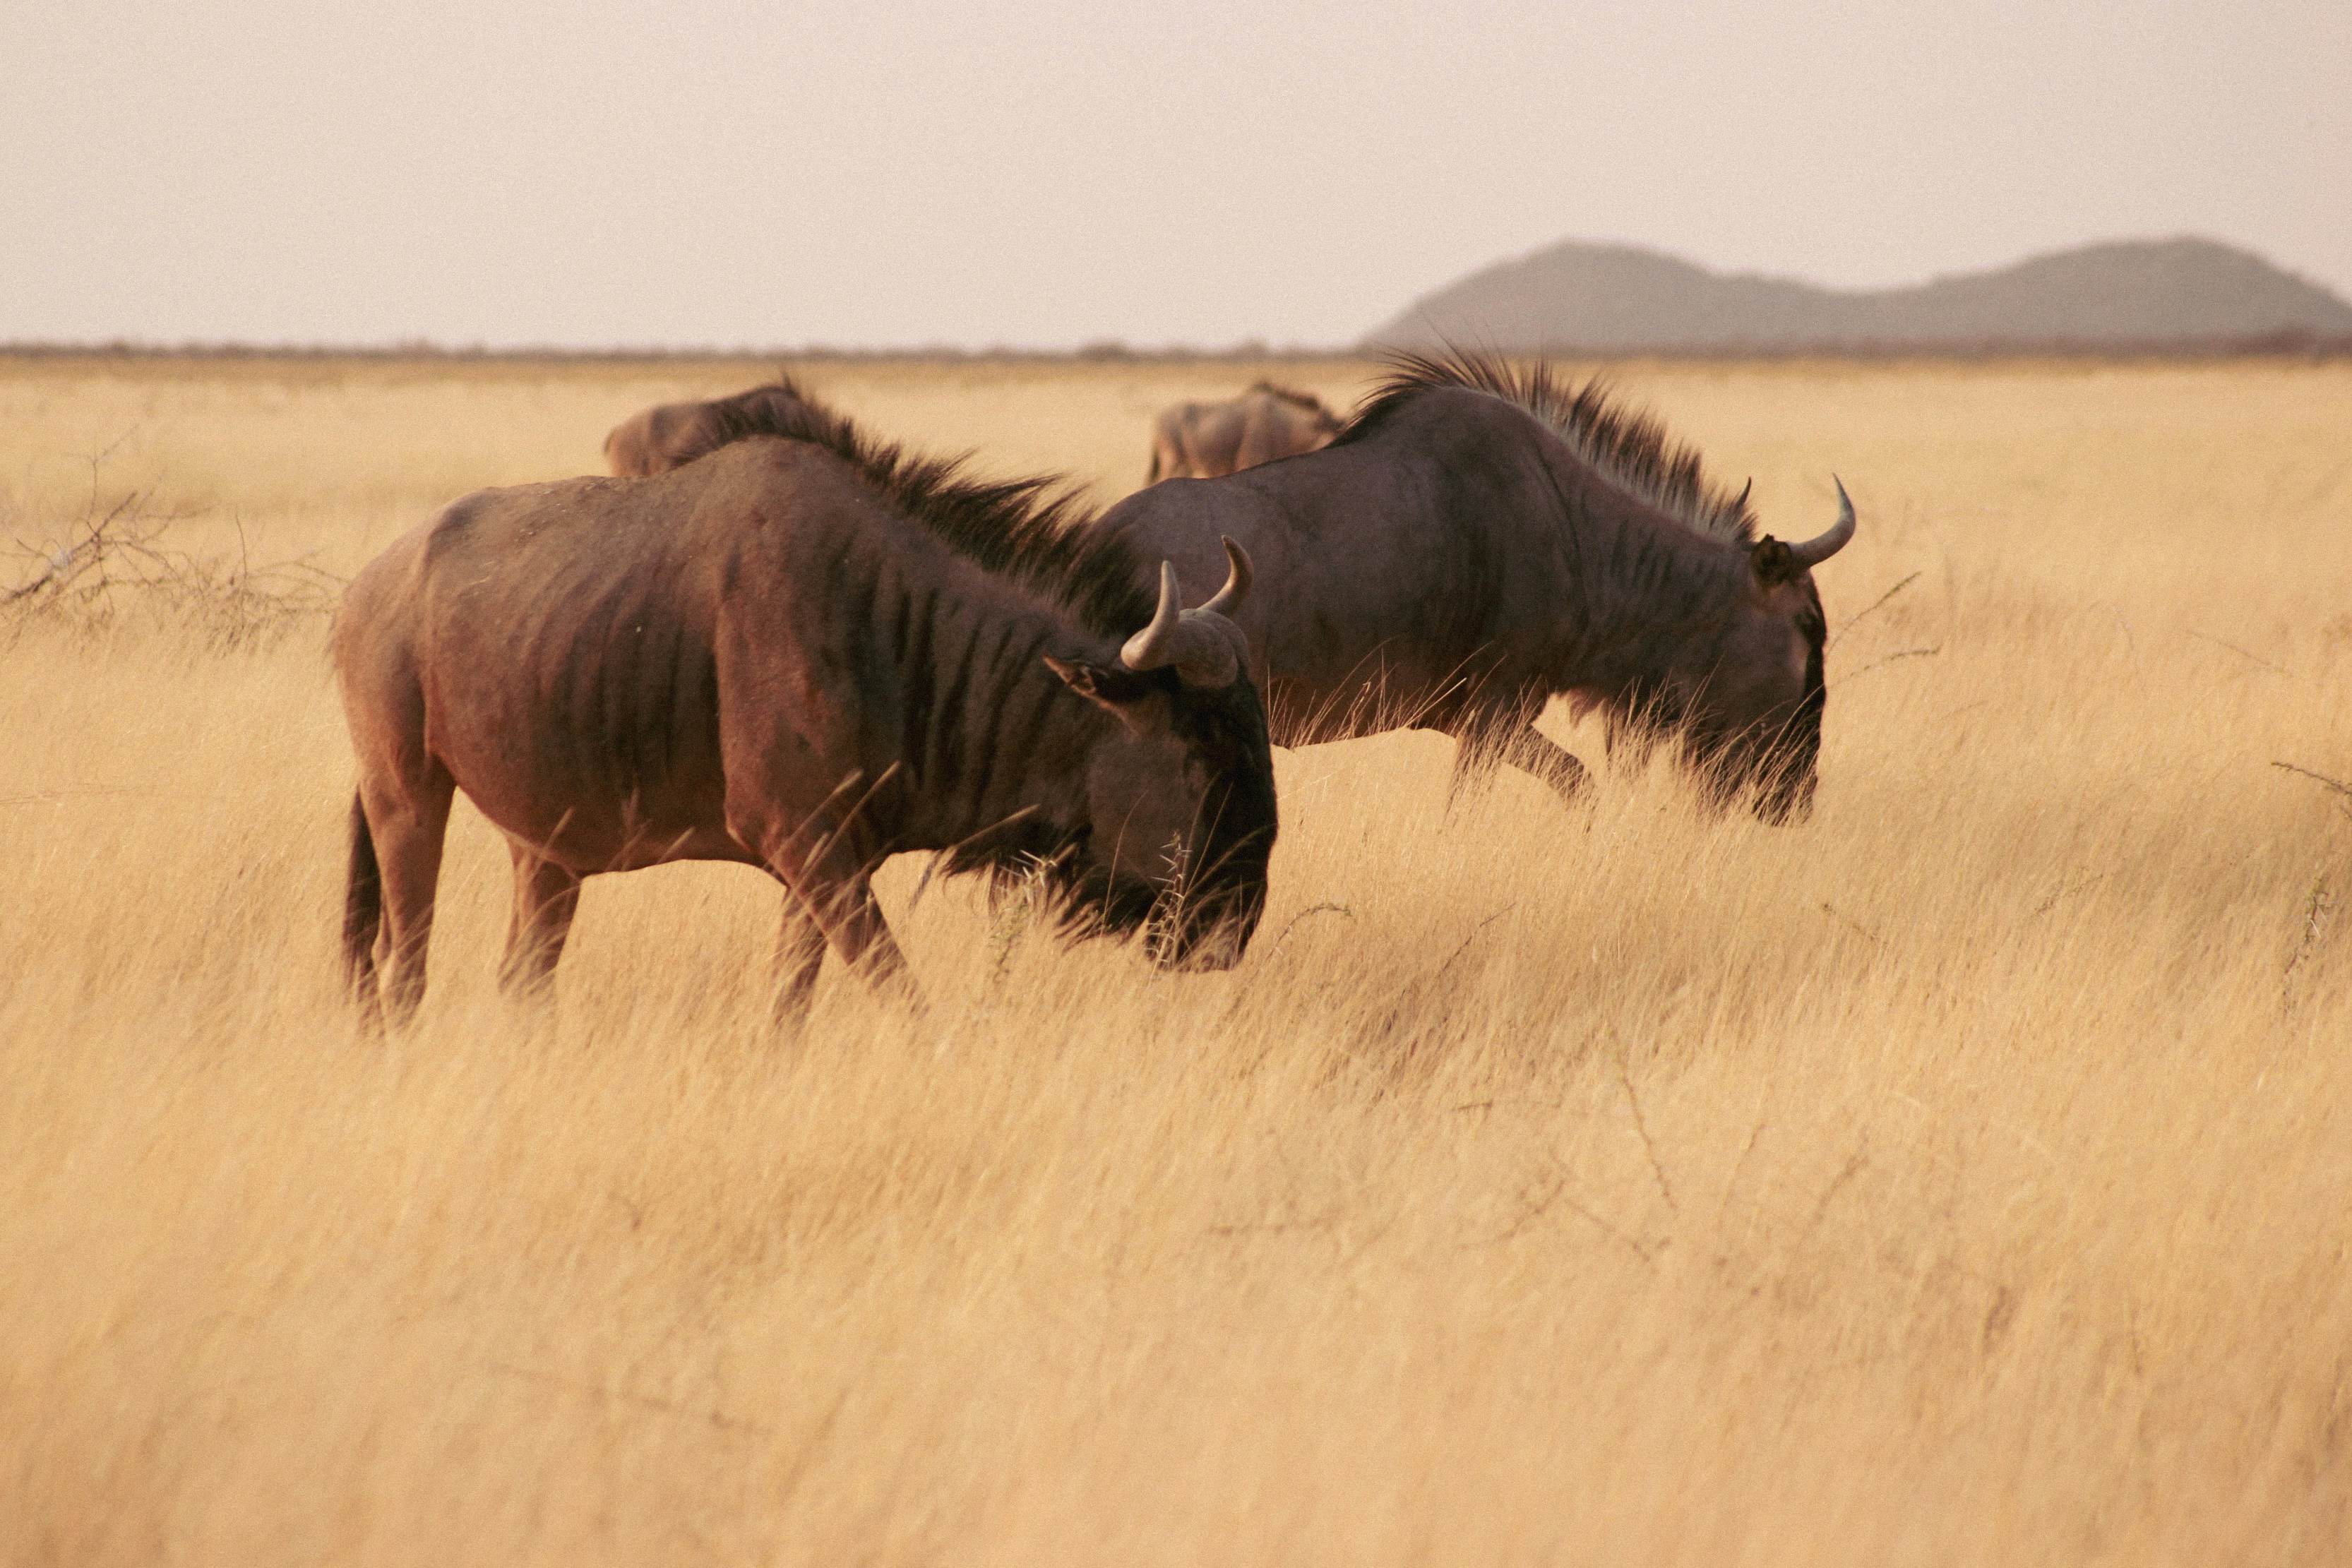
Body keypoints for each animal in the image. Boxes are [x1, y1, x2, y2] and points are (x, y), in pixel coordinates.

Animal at [336, 393, 1276, 1028]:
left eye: (1254, 743)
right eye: (1196, 759)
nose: (1234, 928)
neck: (892, 623)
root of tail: (370, 584)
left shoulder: (827, 858)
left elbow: (792, 1003)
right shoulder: (804, 842)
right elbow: (901, 995)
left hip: (546, 851)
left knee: (521, 978)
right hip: (406, 799)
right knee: (403, 962)